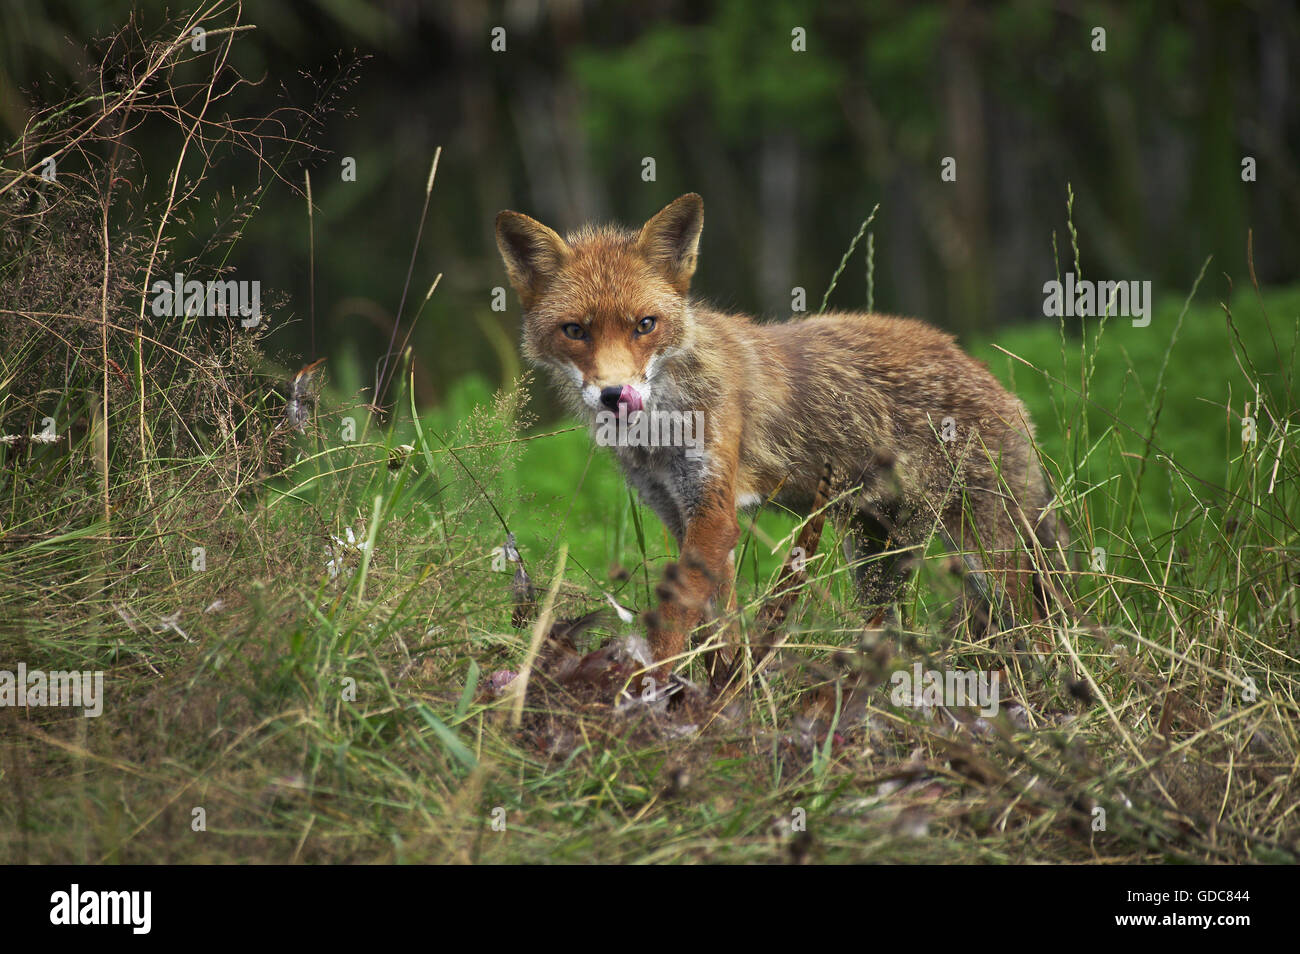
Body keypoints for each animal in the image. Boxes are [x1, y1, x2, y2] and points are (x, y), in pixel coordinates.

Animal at [495, 193, 1067, 680]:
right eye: (575, 331)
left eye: (645, 325)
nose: (615, 394)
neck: (660, 430)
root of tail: (995, 379)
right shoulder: (681, 514)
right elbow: (716, 625)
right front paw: (718, 688)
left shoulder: (714, 512)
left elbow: (672, 625)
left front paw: (642, 688)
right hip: (877, 556)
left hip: (986, 557)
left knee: (1040, 631)